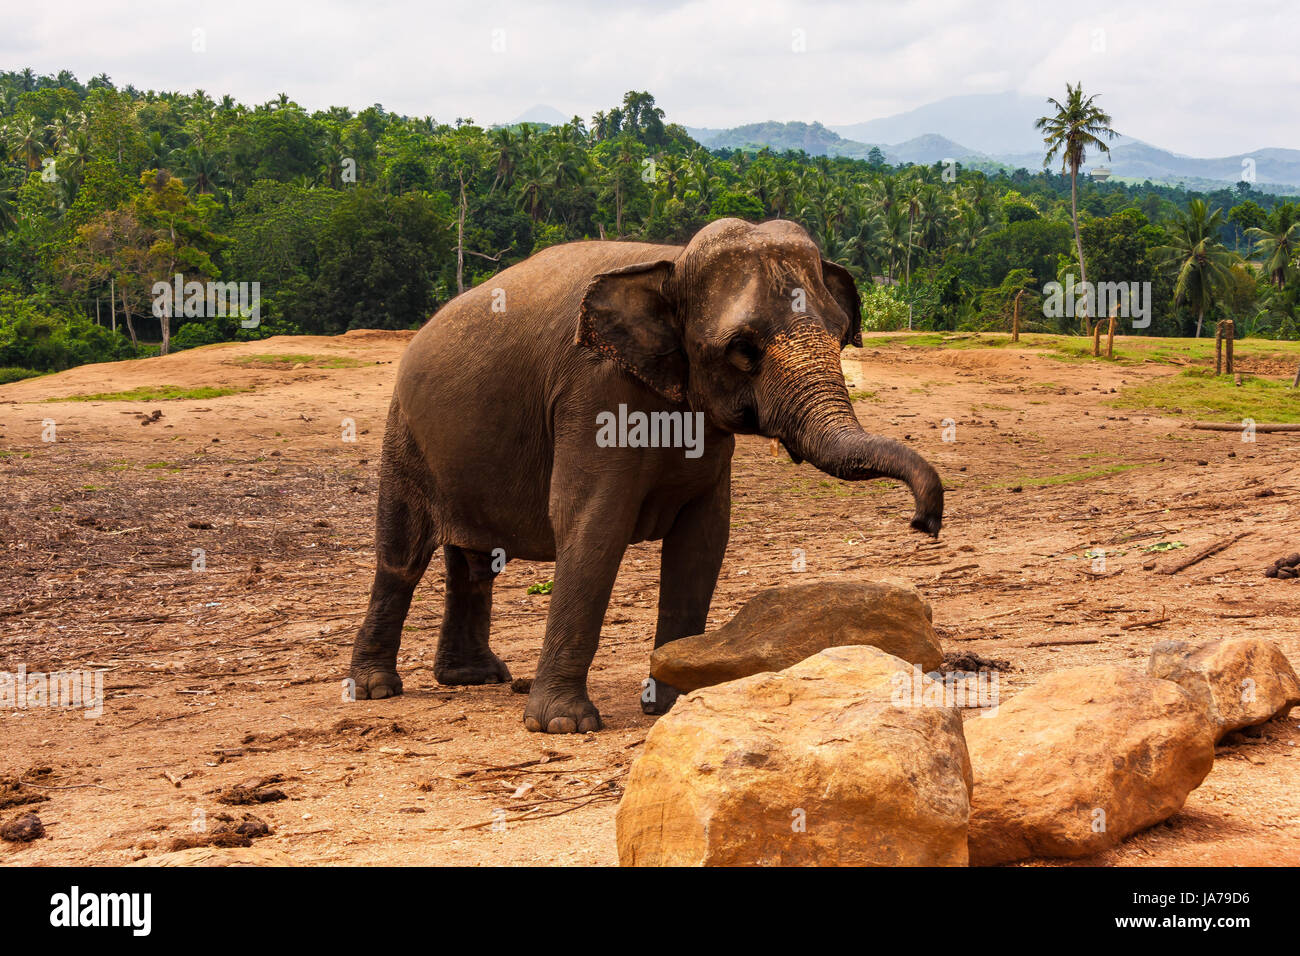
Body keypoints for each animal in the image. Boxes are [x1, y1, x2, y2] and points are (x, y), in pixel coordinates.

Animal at [348, 218, 944, 733]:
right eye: (743, 350)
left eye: (842, 334)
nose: (925, 522)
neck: (673, 262)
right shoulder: (594, 392)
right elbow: (593, 526)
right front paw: (564, 725)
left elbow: (703, 540)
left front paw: (674, 703)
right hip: (403, 436)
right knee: (402, 558)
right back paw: (376, 689)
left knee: (473, 563)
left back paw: (474, 678)